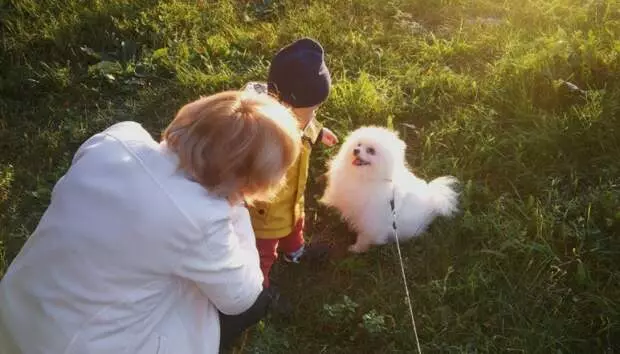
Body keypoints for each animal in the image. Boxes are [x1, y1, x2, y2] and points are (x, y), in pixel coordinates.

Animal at [320, 126, 460, 253]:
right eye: (359, 144)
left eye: (371, 150)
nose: (355, 150)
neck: (366, 178)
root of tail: (433, 200)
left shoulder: (372, 222)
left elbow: (364, 238)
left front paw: (356, 249)